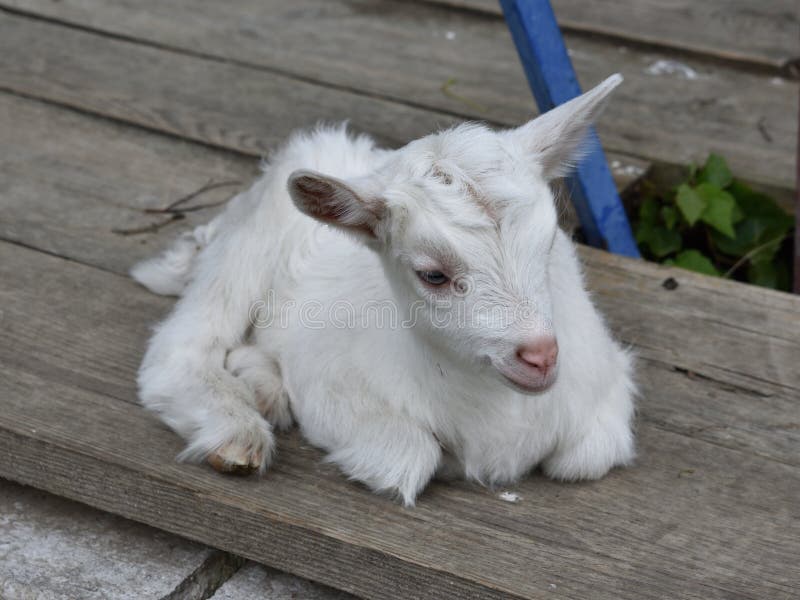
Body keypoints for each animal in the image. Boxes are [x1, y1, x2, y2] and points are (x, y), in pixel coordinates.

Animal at [132, 74, 635, 505]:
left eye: (548, 243)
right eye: (432, 275)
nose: (541, 357)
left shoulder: (606, 389)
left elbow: (586, 458)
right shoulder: (328, 383)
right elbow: (408, 457)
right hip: (246, 248)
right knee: (182, 346)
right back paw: (238, 432)